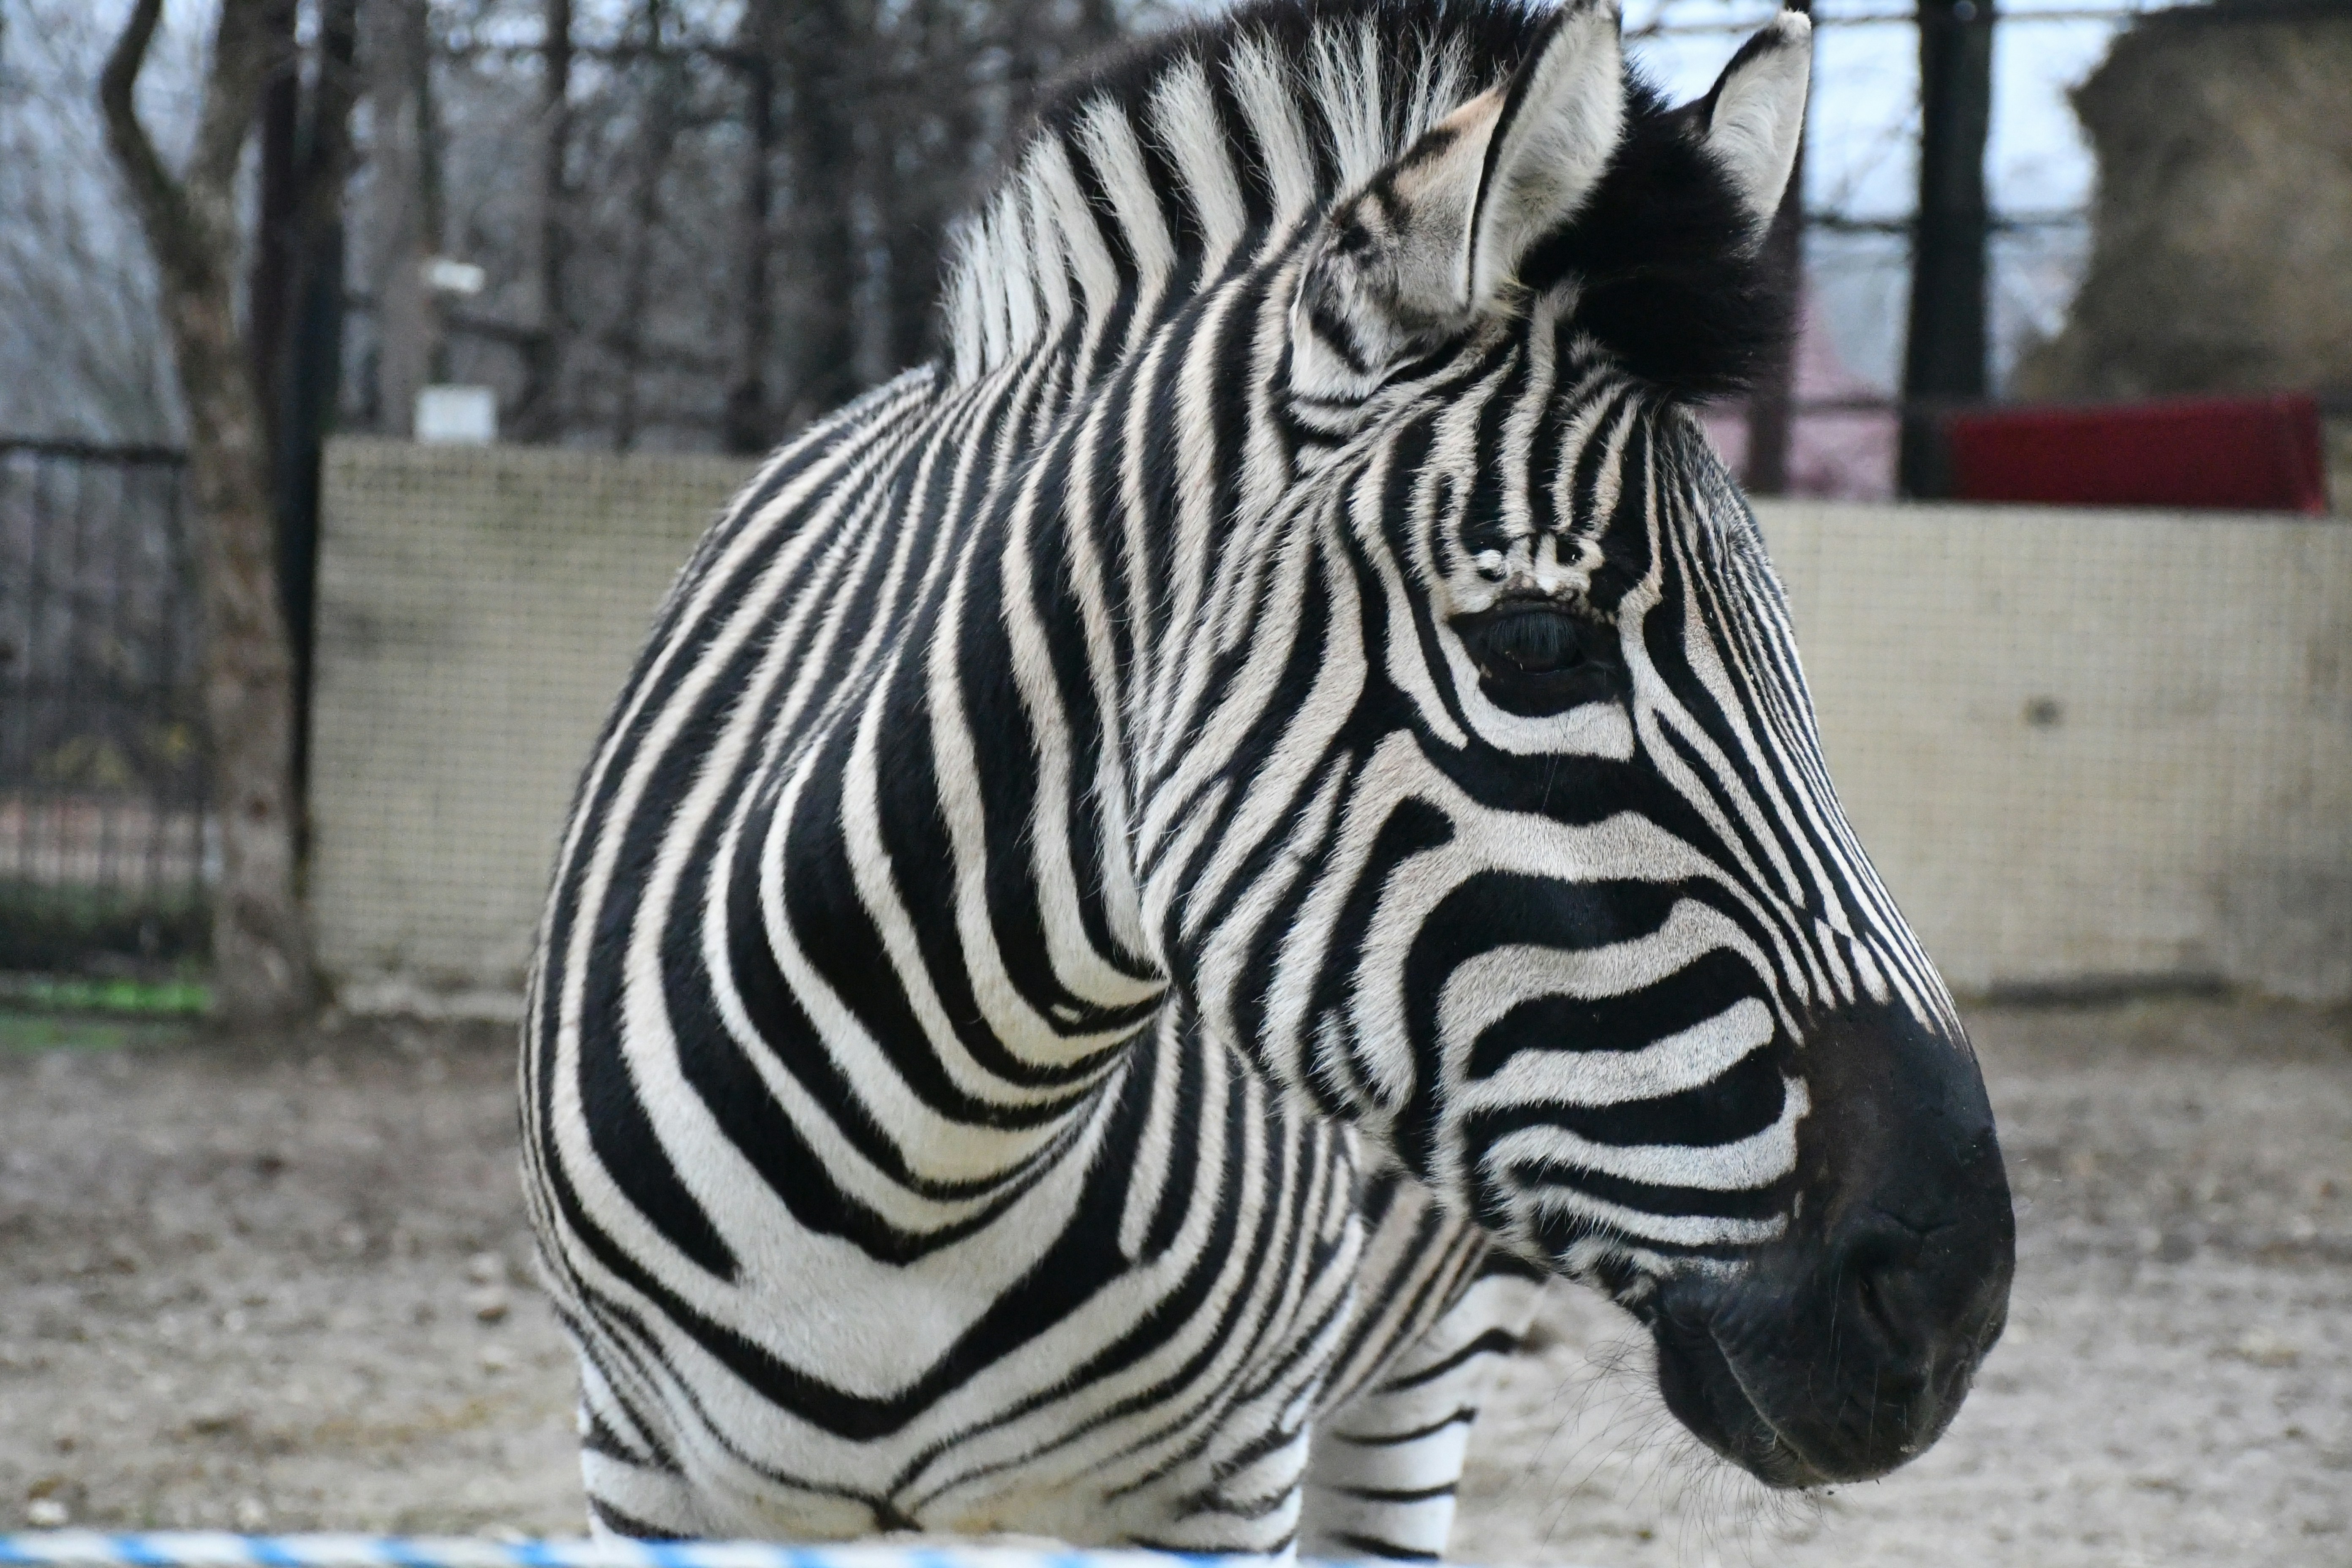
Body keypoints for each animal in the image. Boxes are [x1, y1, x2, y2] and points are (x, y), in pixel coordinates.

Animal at [520, 0, 2015, 1556]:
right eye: (1538, 646)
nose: (1953, 1295)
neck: (912, 1174)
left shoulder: (1227, 1478)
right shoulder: (643, 1469)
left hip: (1427, 1356)